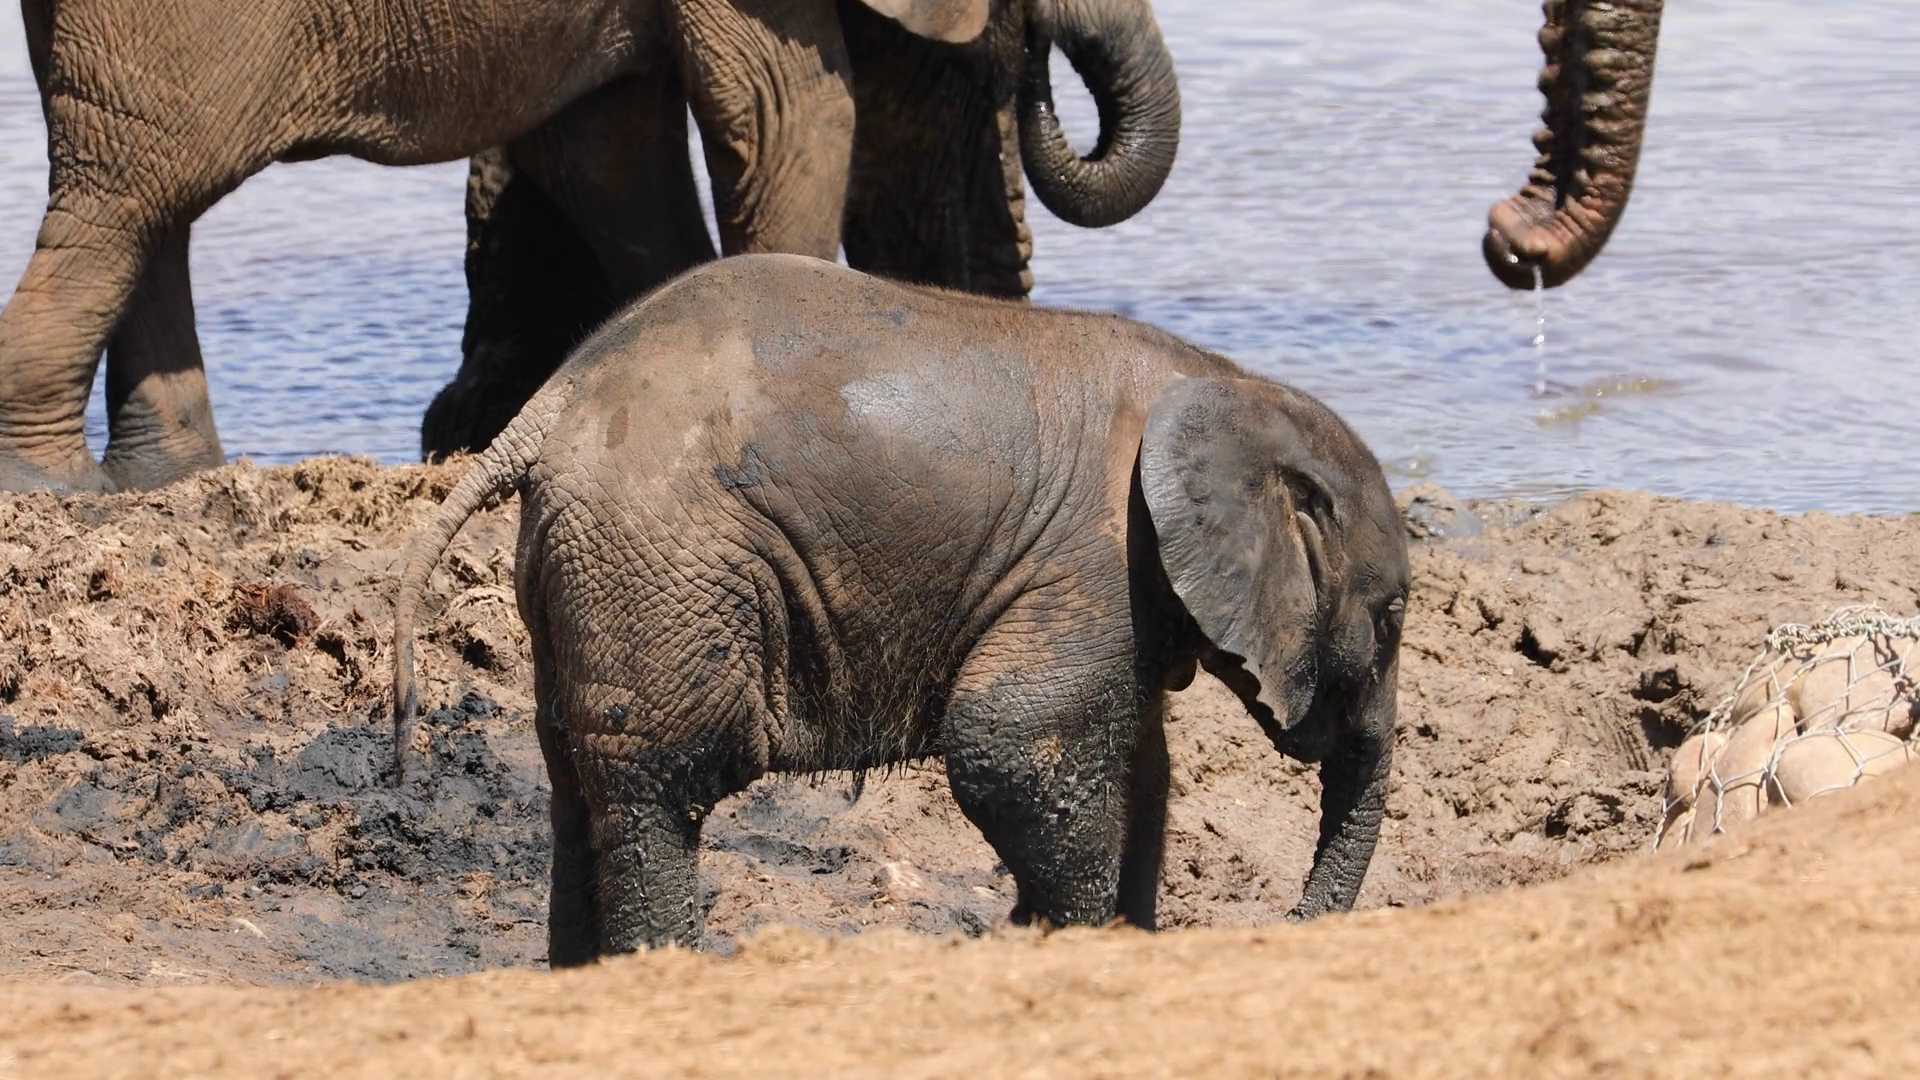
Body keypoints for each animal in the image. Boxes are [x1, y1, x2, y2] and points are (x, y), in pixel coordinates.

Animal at [391, 254, 1410, 961]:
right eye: (1396, 616)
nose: (1291, 925)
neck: (1234, 389)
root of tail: (547, 408)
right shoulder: (1097, 562)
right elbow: (1007, 746)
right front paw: (1062, 942)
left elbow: (1141, 770)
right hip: (661, 562)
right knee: (657, 791)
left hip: (581, 569)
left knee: (577, 790)